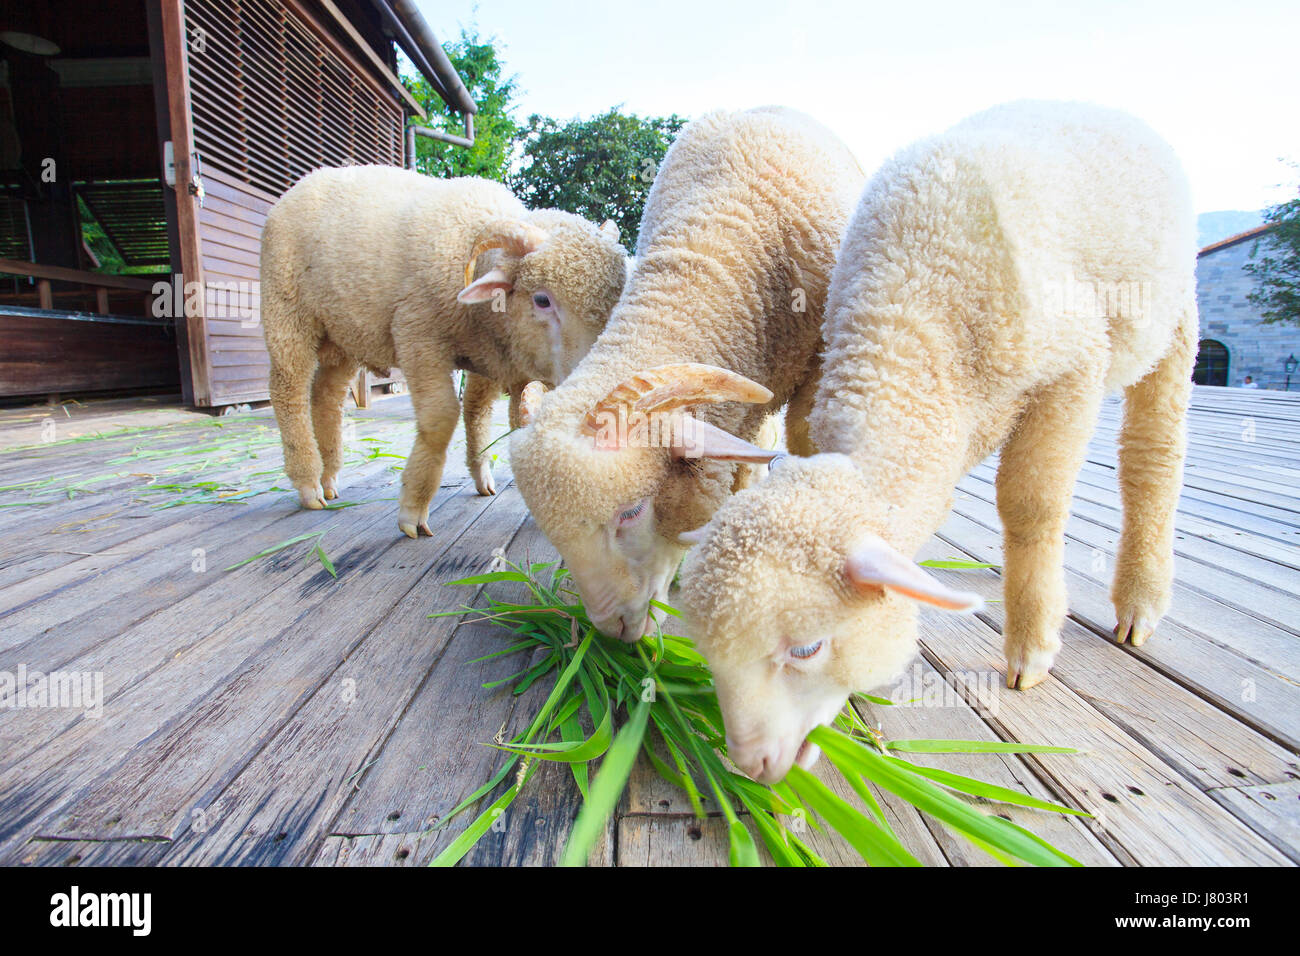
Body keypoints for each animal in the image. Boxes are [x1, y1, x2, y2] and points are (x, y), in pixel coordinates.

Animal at [259, 165, 627, 538]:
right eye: (541, 299)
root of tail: (309, 178)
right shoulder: (417, 334)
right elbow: (441, 417)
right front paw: (413, 508)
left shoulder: (487, 354)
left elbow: (482, 413)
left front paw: (487, 477)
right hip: (286, 308)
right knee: (289, 390)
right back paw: (308, 483)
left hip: (343, 335)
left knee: (326, 398)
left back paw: (330, 477)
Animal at [674, 101, 1198, 783]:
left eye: (808, 647)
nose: (754, 765)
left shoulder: (1073, 365)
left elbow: (1032, 505)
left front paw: (1033, 646)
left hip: (1175, 317)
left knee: (1153, 453)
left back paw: (1140, 600)